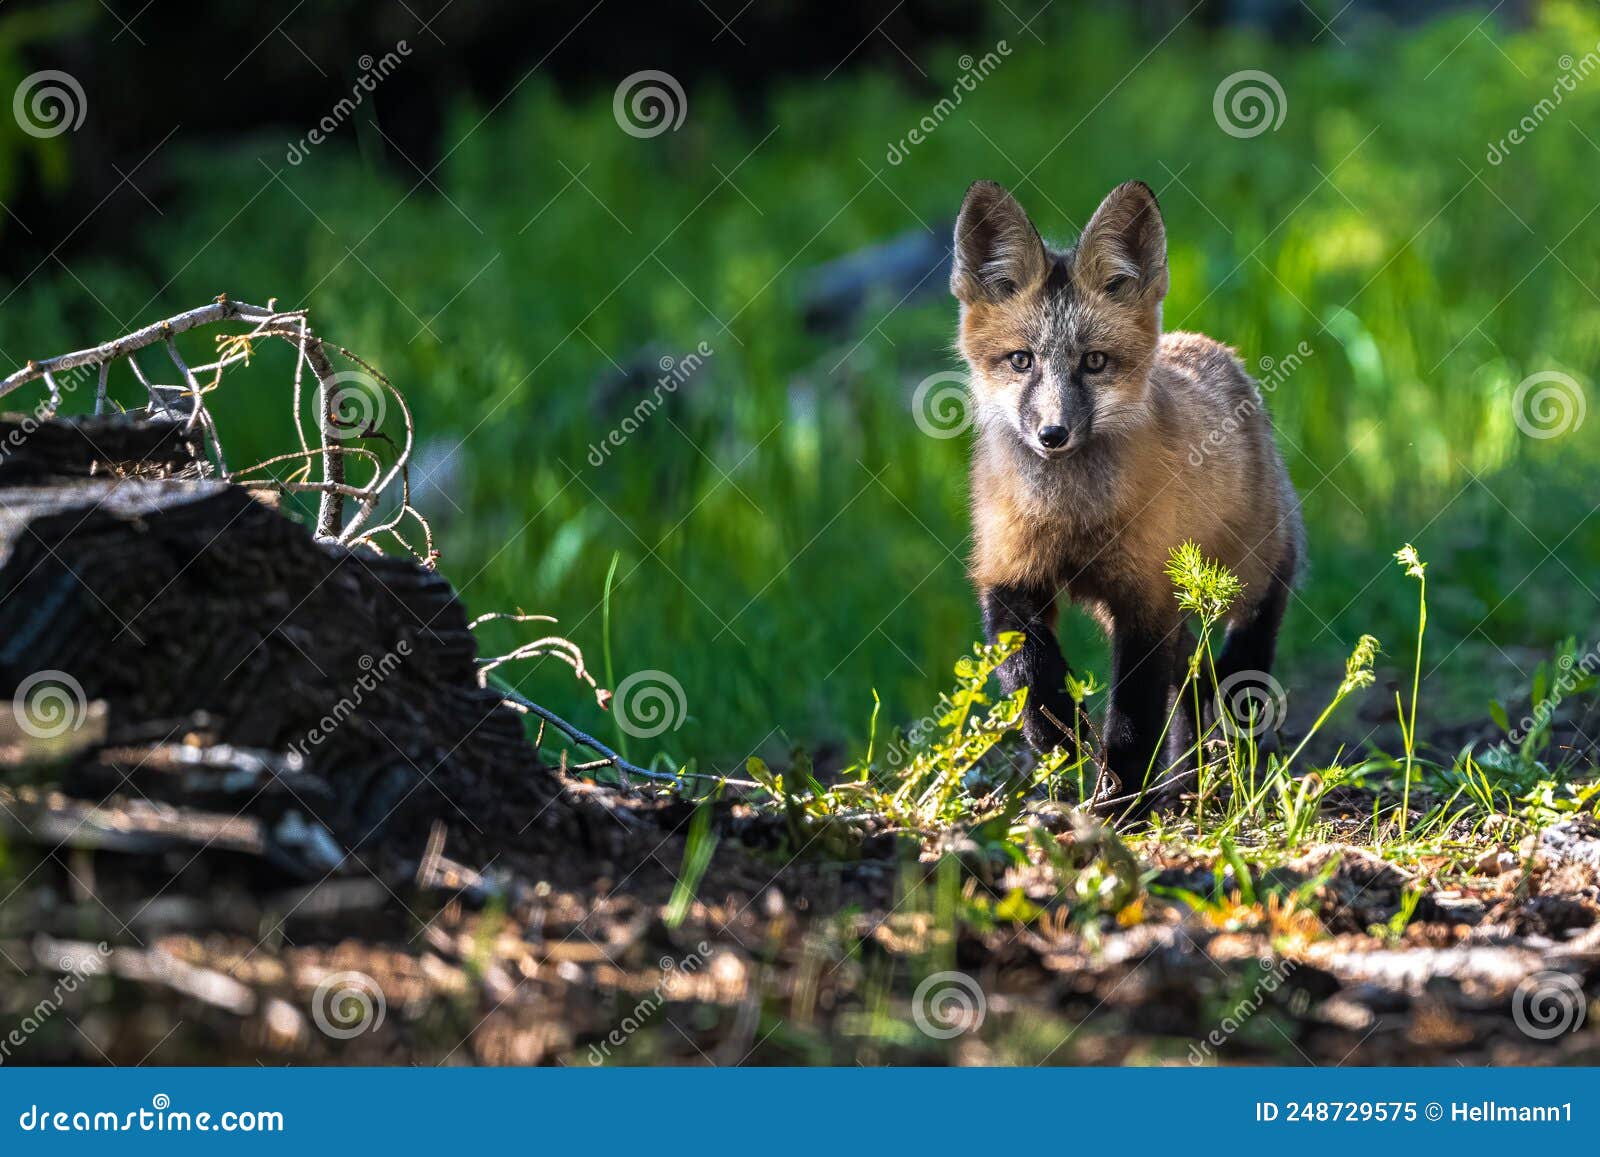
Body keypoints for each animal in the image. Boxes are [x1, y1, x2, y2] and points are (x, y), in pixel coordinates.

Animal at [950, 178, 1304, 813]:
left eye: (1094, 362)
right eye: (1021, 361)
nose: (1053, 434)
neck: (1069, 517)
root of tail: (1215, 349)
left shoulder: (1146, 599)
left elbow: (1134, 718)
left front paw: (1122, 804)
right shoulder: (1009, 571)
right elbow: (1027, 670)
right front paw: (1058, 734)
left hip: (1248, 580)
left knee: (1234, 674)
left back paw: (1228, 774)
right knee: (1191, 686)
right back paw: (1188, 779)